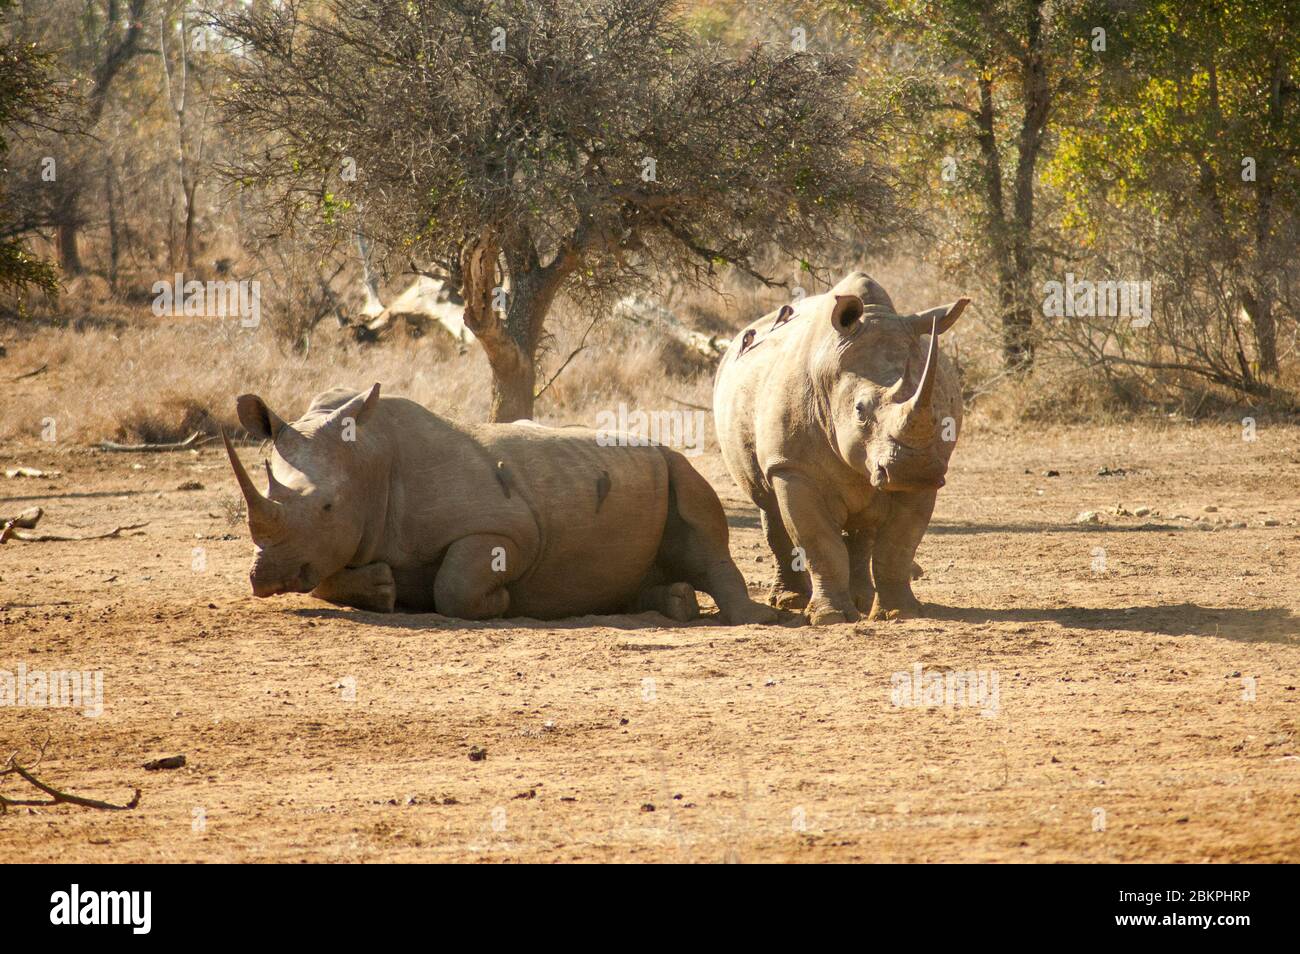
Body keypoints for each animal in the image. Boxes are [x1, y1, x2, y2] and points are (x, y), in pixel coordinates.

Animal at [223, 384, 776, 624]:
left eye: (328, 508)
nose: (263, 578)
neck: (371, 459)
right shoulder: (332, 546)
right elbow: (323, 574)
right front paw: (382, 588)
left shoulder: (510, 530)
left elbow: (455, 586)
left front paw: (504, 603)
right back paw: (673, 605)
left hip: (672, 461)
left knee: (703, 531)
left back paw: (753, 619)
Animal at [713, 272, 969, 625]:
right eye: (860, 410)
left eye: (942, 411)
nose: (911, 468)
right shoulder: (791, 466)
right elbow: (819, 543)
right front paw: (830, 617)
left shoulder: (930, 473)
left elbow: (899, 545)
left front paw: (900, 612)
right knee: (769, 506)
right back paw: (792, 602)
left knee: (864, 529)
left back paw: (863, 601)